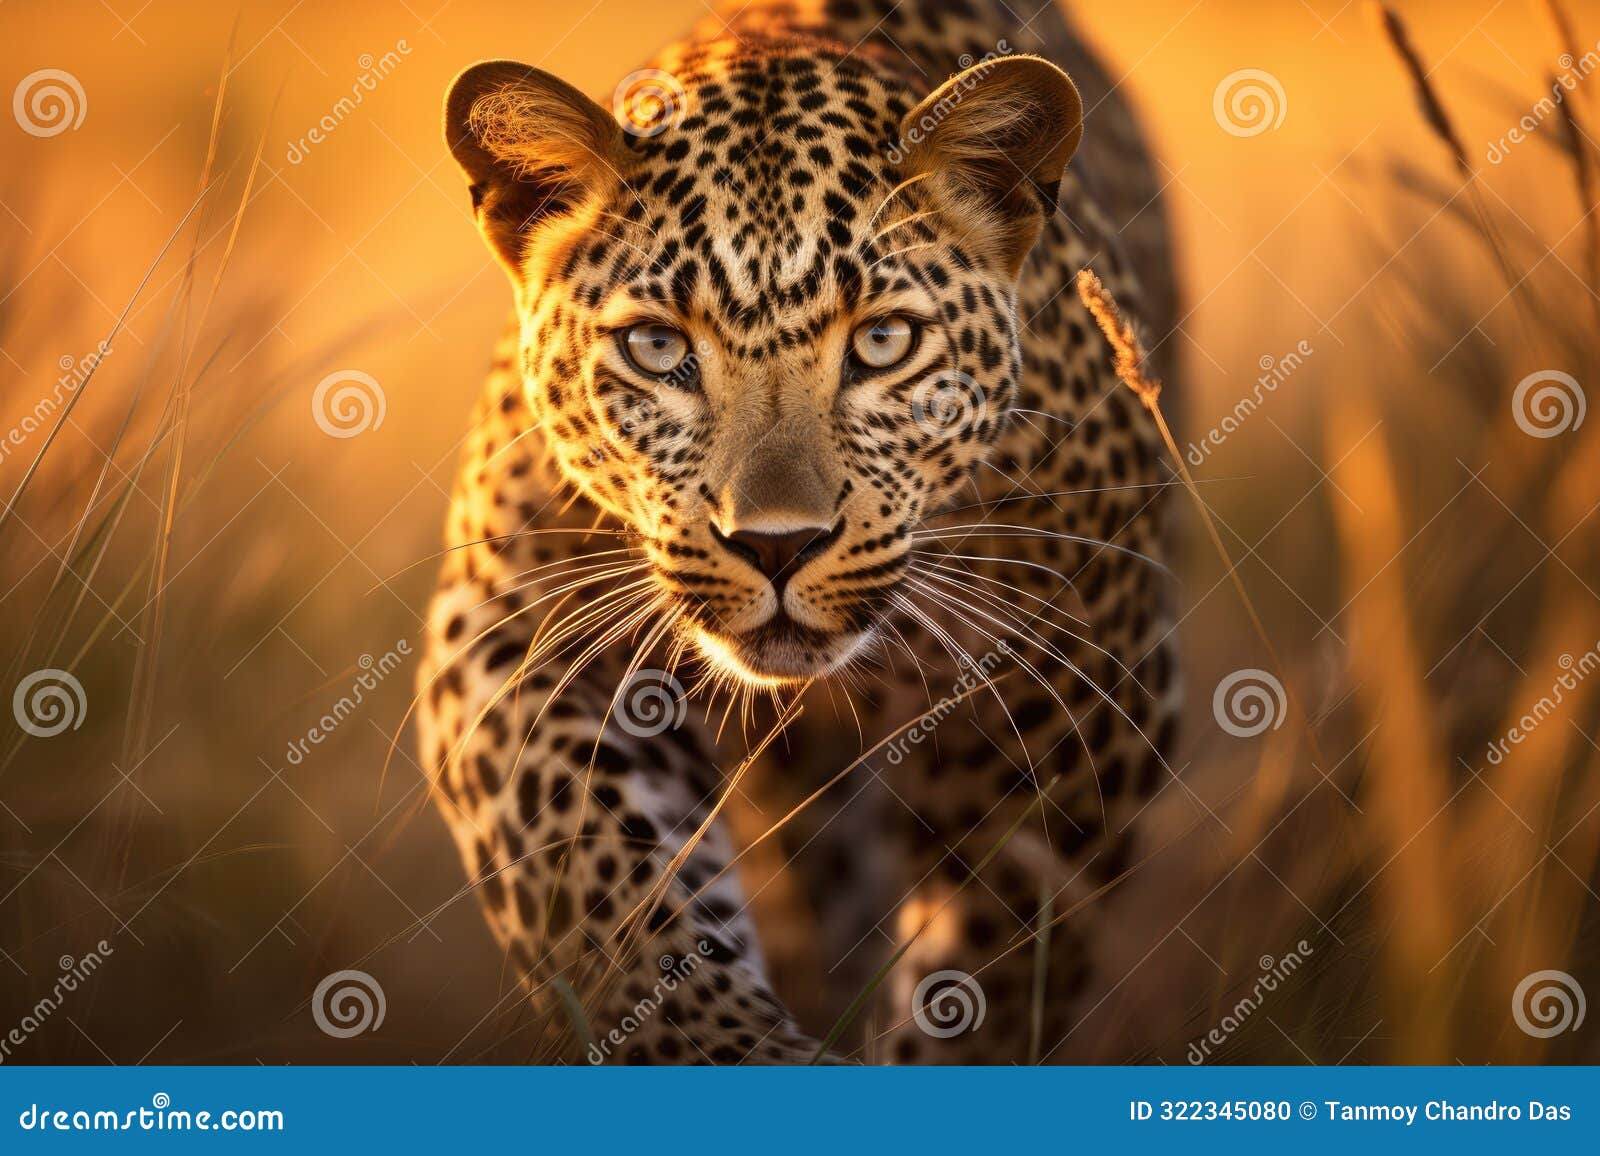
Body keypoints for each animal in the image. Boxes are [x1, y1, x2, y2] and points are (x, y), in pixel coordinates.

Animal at [416, 0, 1180, 1065]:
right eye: (655, 347)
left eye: (884, 342)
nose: (777, 544)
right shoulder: (504, 631)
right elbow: (605, 892)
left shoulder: (1085, 706)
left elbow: (994, 976)